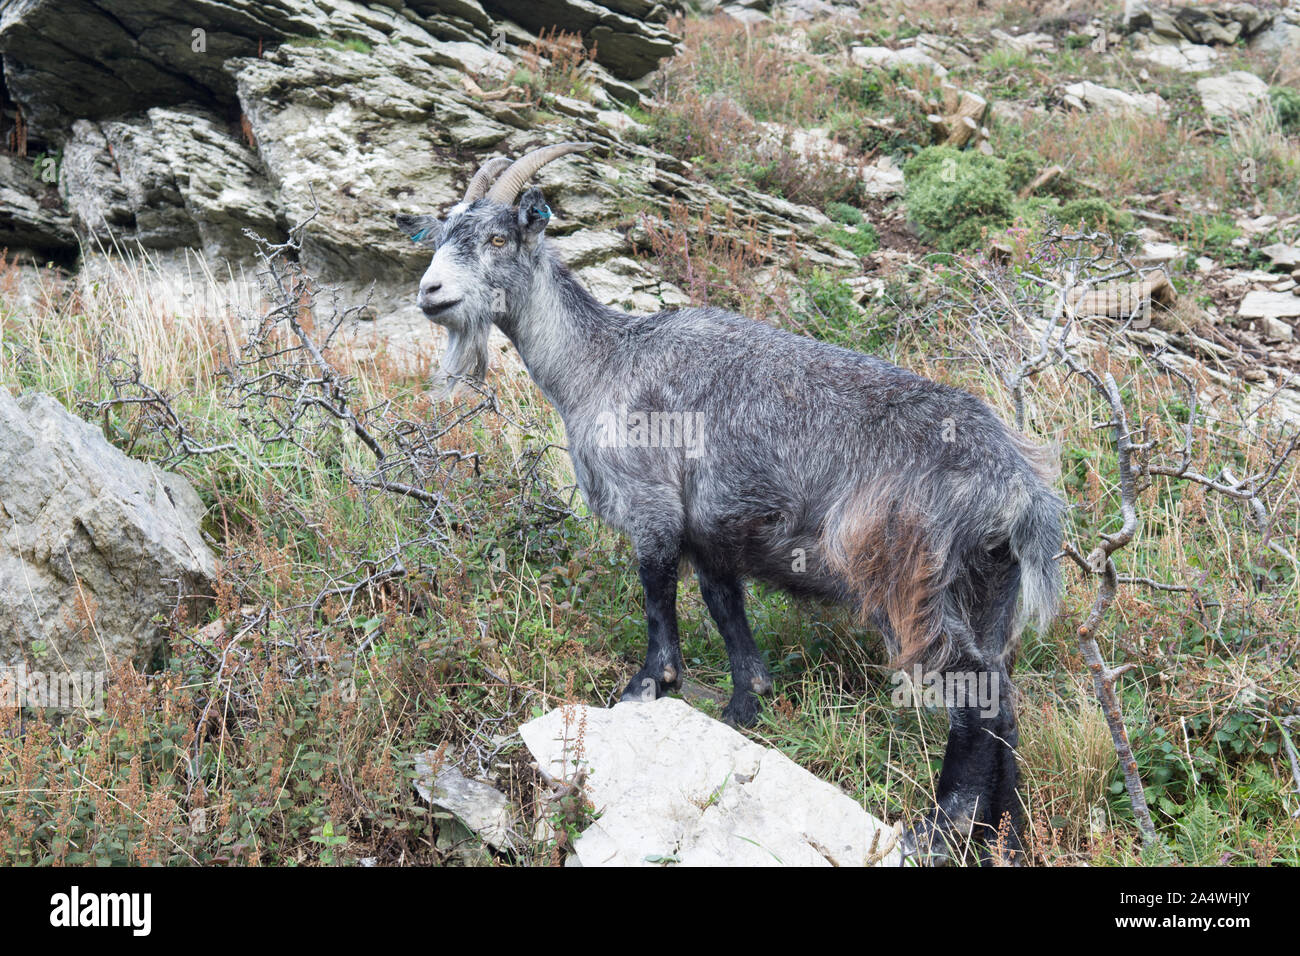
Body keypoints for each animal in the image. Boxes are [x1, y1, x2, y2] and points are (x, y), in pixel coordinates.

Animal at [397, 143, 1065, 862]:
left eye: (498, 237)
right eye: (441, 236)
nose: (431, 293)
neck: (603, 362)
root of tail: (1018, 488)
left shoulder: (654, 504)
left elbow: (658, 596)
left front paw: (646, 687)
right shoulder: (713, 530)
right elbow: (726, 610)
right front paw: (746, 707)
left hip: (914, 584)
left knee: (975, 693)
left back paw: (938, 827)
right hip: (987, 592)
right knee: (1003, 695)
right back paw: (1007, 833)